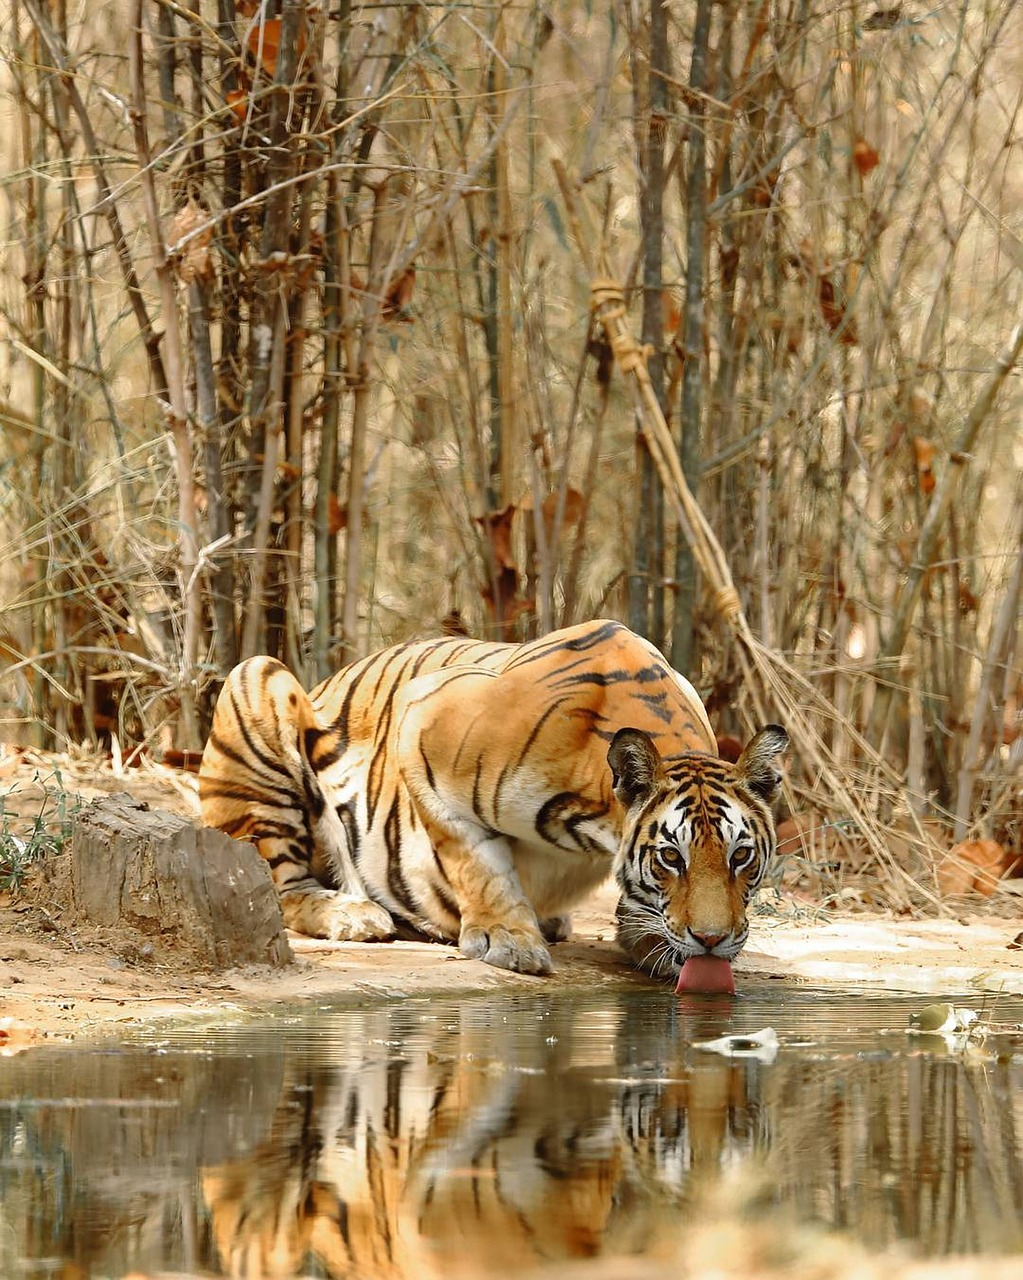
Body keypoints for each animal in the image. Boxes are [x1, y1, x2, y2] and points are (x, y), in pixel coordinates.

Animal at [198, 618, 788, 978]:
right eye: (671, 857)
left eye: (741, 856)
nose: (711, 941)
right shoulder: (421, 724)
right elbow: (476, 860)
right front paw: (510, 941)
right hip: (257, 680)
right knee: (279, 887)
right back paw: (354, 914)